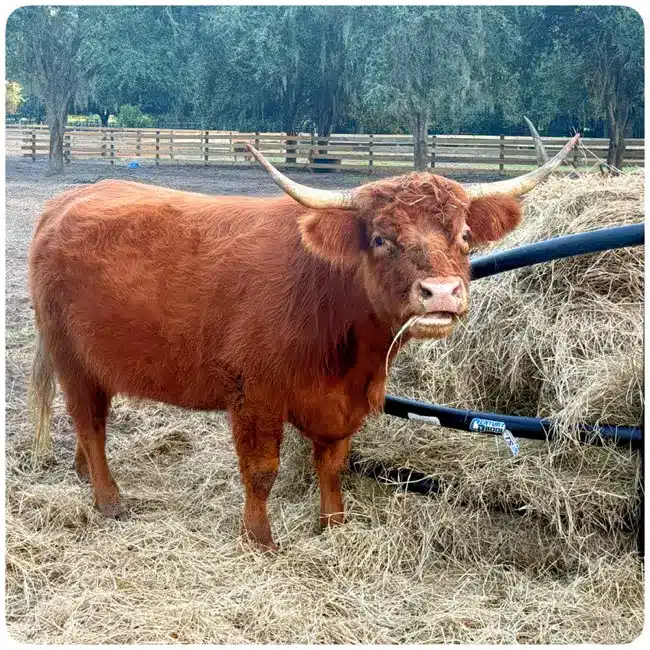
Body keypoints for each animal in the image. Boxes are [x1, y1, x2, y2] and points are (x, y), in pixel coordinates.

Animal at [28, 133, 580, 551]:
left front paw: (333, 526)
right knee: (90, 425)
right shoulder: (254, 396)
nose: (441, 293)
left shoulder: (340, 406)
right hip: (70, 358)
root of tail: (65, 201)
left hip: (95, 362)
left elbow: (332, 467)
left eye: (465, 236)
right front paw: (260, 540)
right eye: (380, 238)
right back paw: (109, 500)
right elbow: (261, 471)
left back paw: (85, 477)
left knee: (92, 424)